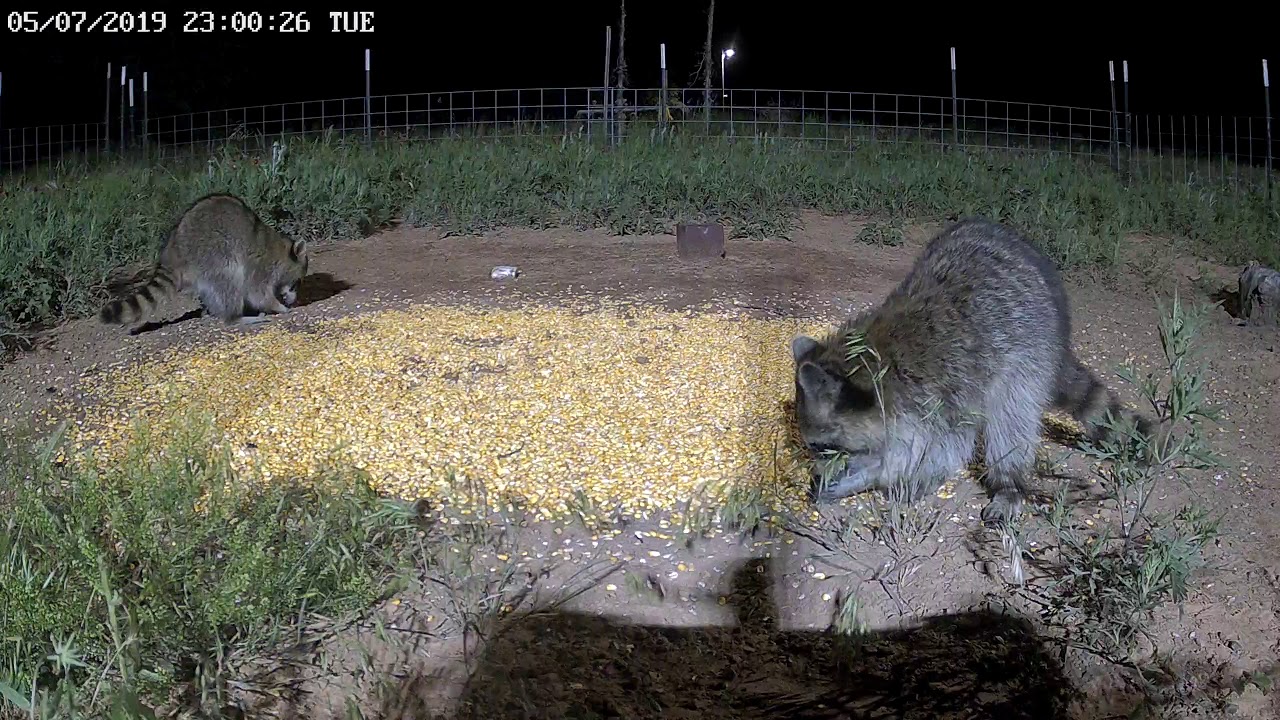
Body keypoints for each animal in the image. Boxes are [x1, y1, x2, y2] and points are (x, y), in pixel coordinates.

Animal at [98, 193, 309, 329]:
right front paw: (278, 306)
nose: (293, 300)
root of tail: (173, 250)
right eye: (296, 282)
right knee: (230, 280)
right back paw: (235, 318)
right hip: (212, 254)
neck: (280, 249)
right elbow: (257, 293)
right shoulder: (261, 266)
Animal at [790, 217, 1153, 526]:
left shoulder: (947, 392)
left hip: (1028, 355)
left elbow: (942, 447)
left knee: (1010, 419)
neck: (879, 360)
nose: (816, 476)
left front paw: (886, 476)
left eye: (818, 446)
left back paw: (1008, 483)